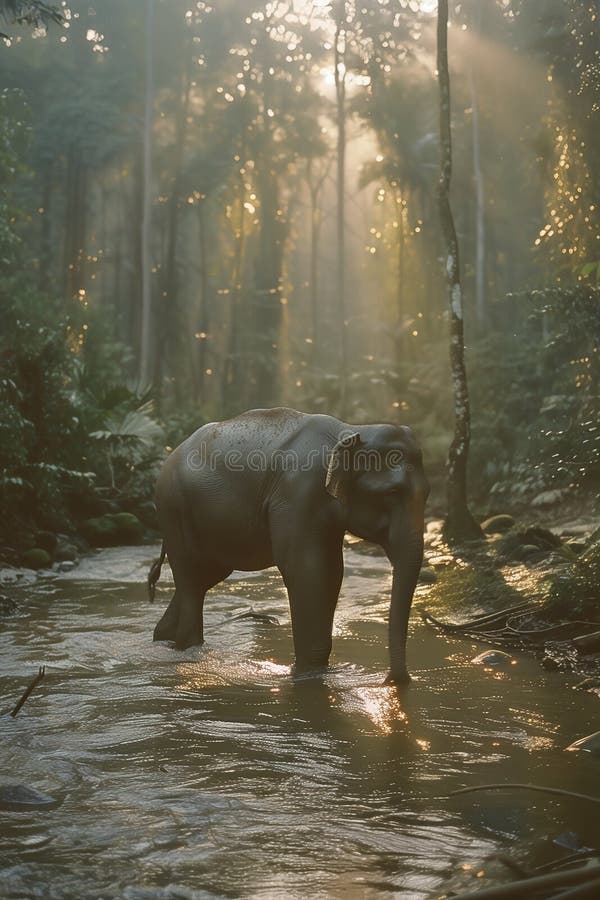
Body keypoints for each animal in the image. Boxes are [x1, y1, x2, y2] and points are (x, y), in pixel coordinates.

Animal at [148, 407, 429, 685]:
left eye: (426, 496)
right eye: (392, 493)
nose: (394, 680)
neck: (350, 431)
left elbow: (332, 570)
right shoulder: (297, 494)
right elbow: (306, 568)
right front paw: (308, 672)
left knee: (204, 577)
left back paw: (164, 638)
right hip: (173, 508)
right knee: (191, 577)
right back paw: (187, 648)